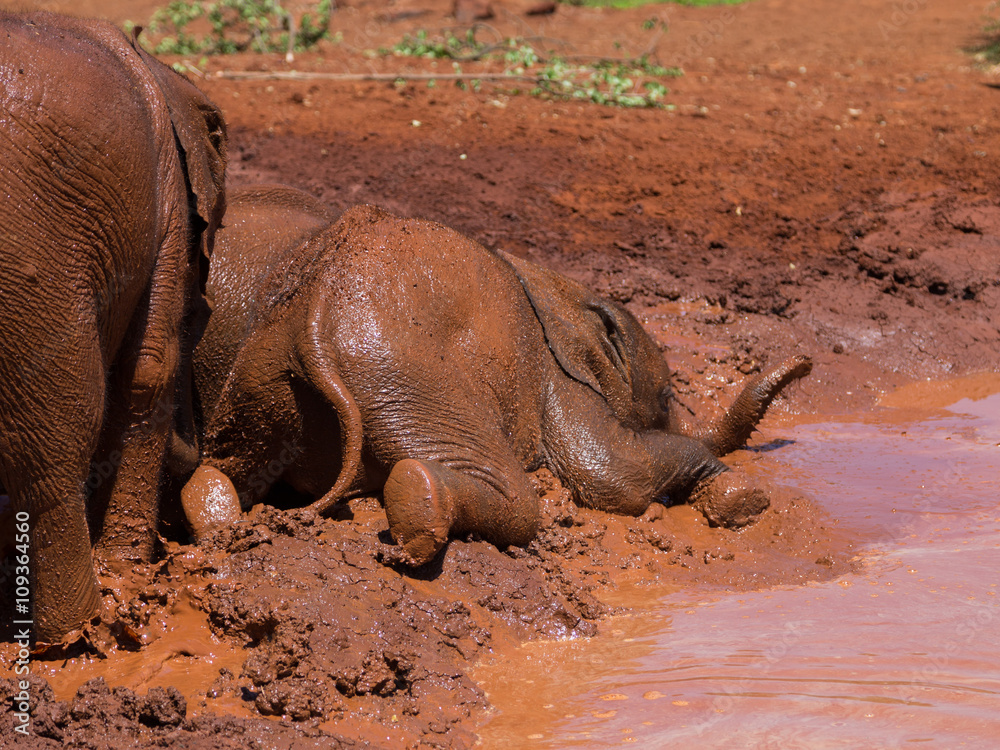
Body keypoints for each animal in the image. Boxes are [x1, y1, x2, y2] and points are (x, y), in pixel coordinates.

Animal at [0, 12, 227, 641]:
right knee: (53, 443)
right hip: (35, 272)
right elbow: (149, 372)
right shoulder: (167, 197)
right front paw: (128, 575)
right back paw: (77, 633)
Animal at [183, 186, 811, 566]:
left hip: (263, 380)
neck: (562, 288)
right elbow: (615, 475)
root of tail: (311, 314)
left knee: (230, 467)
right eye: (668, 394)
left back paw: (215, 516)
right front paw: (748, 500)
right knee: (519, 502)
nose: (804, 363)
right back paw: (419, 505)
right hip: (410, 375)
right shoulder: (556, 377)